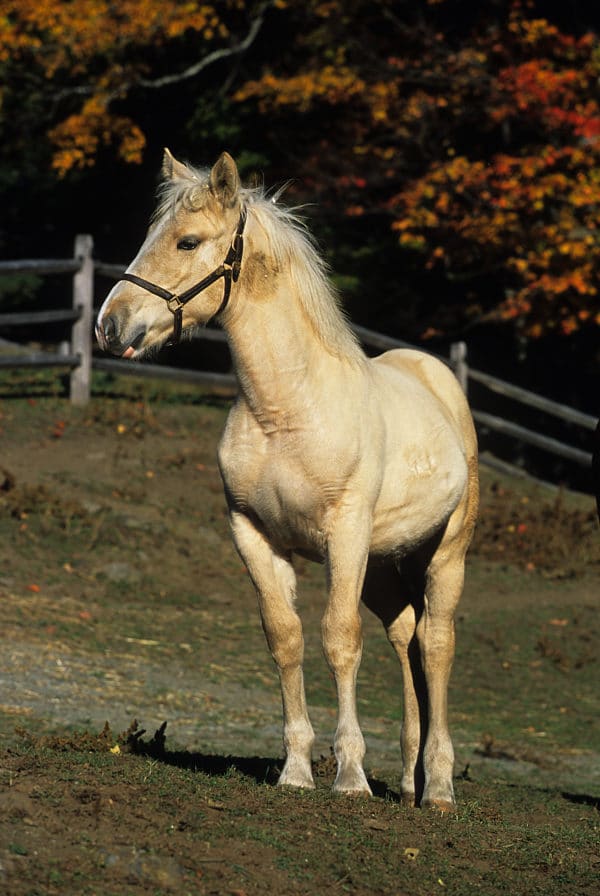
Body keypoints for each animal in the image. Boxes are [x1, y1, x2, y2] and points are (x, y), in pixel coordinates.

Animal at [96, 150, 479, 811]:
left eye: (187, 240)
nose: (110, 325)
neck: (287, 410)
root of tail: (436, 376)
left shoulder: (344, 536)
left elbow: (339, 638)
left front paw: (350, 777)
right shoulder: (253, 535)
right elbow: (286, 638)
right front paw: (297, 770)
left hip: (444, 553)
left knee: (435, 643)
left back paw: (438, 787)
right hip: (385, 564)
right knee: (405, 636)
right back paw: (409, 780)